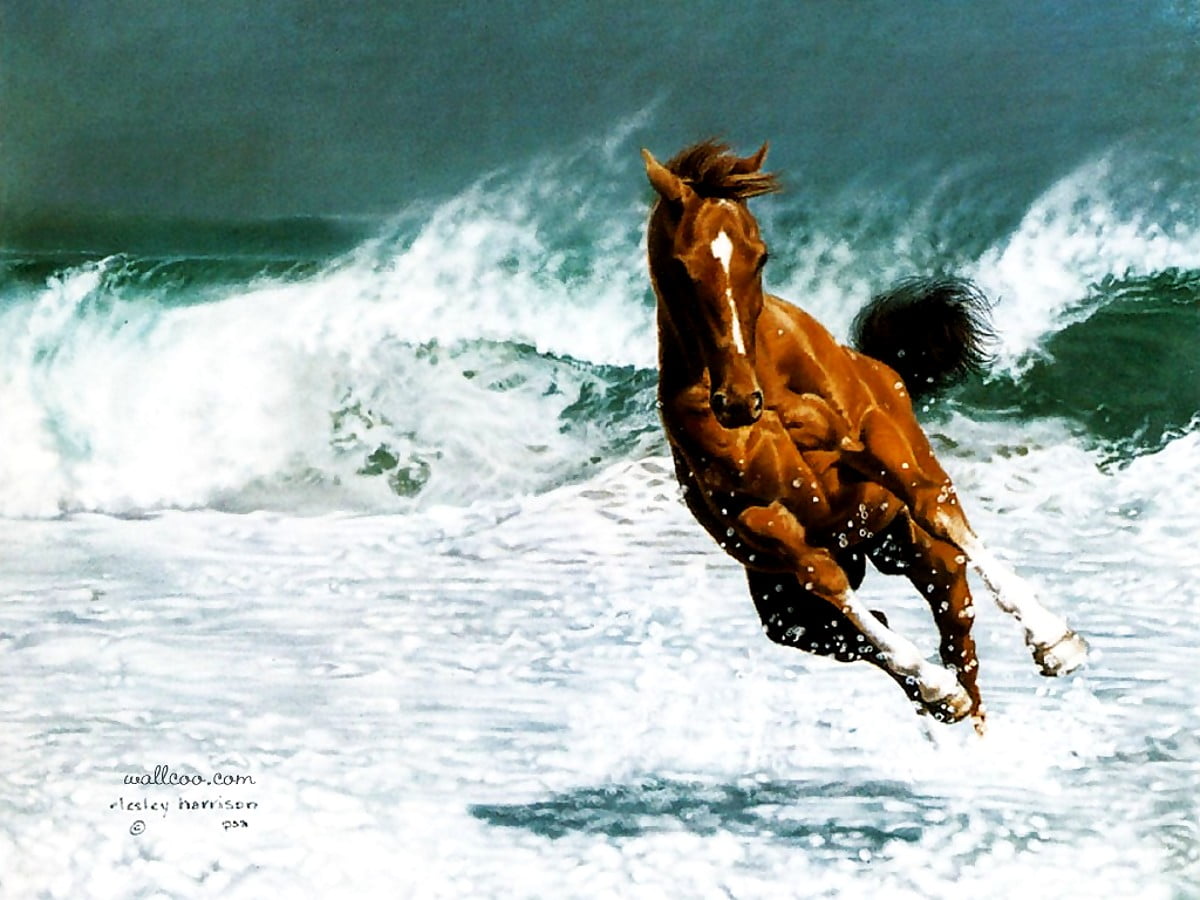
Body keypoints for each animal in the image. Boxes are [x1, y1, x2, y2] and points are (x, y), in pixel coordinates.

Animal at [641, 140, 1088, 731]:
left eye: (759, 256)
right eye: (682, 267)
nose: (738, 403)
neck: (767, 378)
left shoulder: (871, 439)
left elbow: (932, 506)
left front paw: (1055, 642)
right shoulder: (761, 519)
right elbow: (829, 583)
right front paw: (936, 688)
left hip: (916, 549)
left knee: (956, 625)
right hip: (786, 607)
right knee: (863, 631)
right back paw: (940, 697)